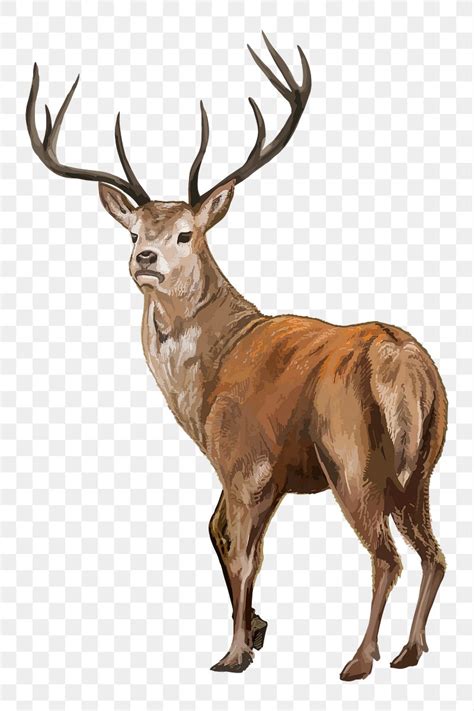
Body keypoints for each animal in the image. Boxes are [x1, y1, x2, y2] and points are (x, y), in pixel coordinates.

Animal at [26, 33, 447, 681]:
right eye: (133, 232)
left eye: (185, 233)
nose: (144, 259)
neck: (205, 385)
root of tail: (399, 361)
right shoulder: (264, 475)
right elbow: (222, 535)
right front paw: (257, 630)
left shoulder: (243, 457)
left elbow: (241, 550)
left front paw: (234, 652)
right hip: (423, 465)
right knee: (435, 553)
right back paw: (410, 649)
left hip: (352, 458)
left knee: (387, 556)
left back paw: (360, 658)